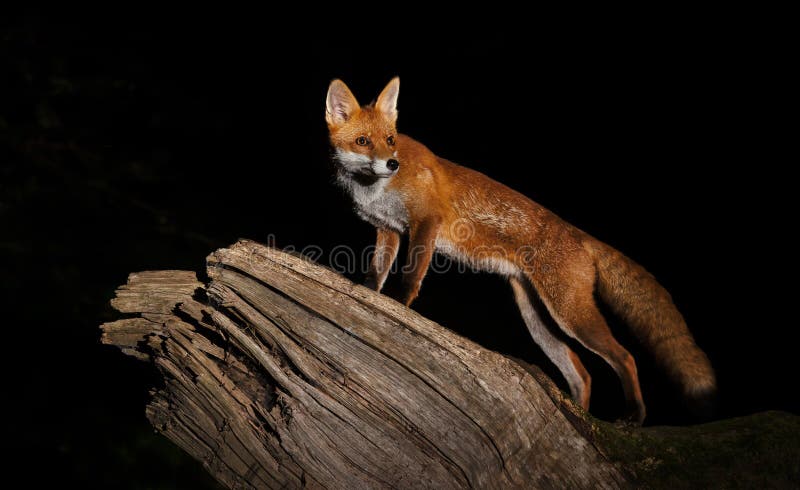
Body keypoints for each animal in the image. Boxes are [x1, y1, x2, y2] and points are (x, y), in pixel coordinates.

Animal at [325, 77, 716, 423]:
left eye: (390, 140)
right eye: (363, 141)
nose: (392, 163)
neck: (374, 190)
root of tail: (576, 233)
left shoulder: (427, 222)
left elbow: (410, 277)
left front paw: (399, 308)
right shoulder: (388, 229)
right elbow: (377, 272)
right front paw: (370, 296)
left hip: (570, 313)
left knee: (625, 357)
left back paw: (634, 416)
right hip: (537, 318)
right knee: (581, 371)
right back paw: (579, 418)